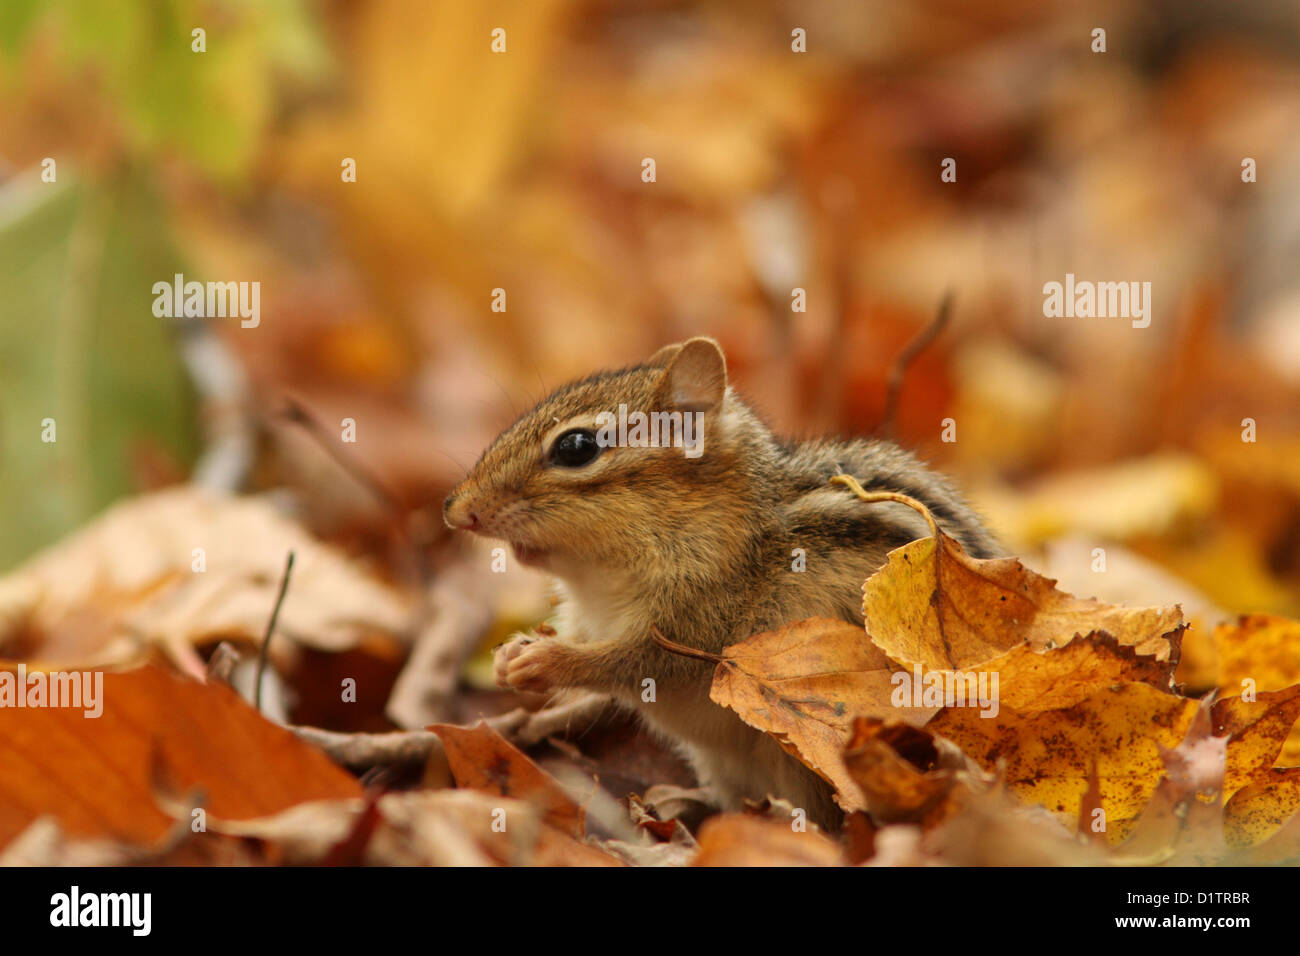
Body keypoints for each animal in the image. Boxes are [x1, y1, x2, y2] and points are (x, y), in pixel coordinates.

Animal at [444, 337, 1000, 829]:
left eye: (576, 447)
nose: (455, 509)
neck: (601, 580)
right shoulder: (590, 616)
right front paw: (508, 655)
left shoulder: (692, 623)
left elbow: (629, 661)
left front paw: (544, 661)